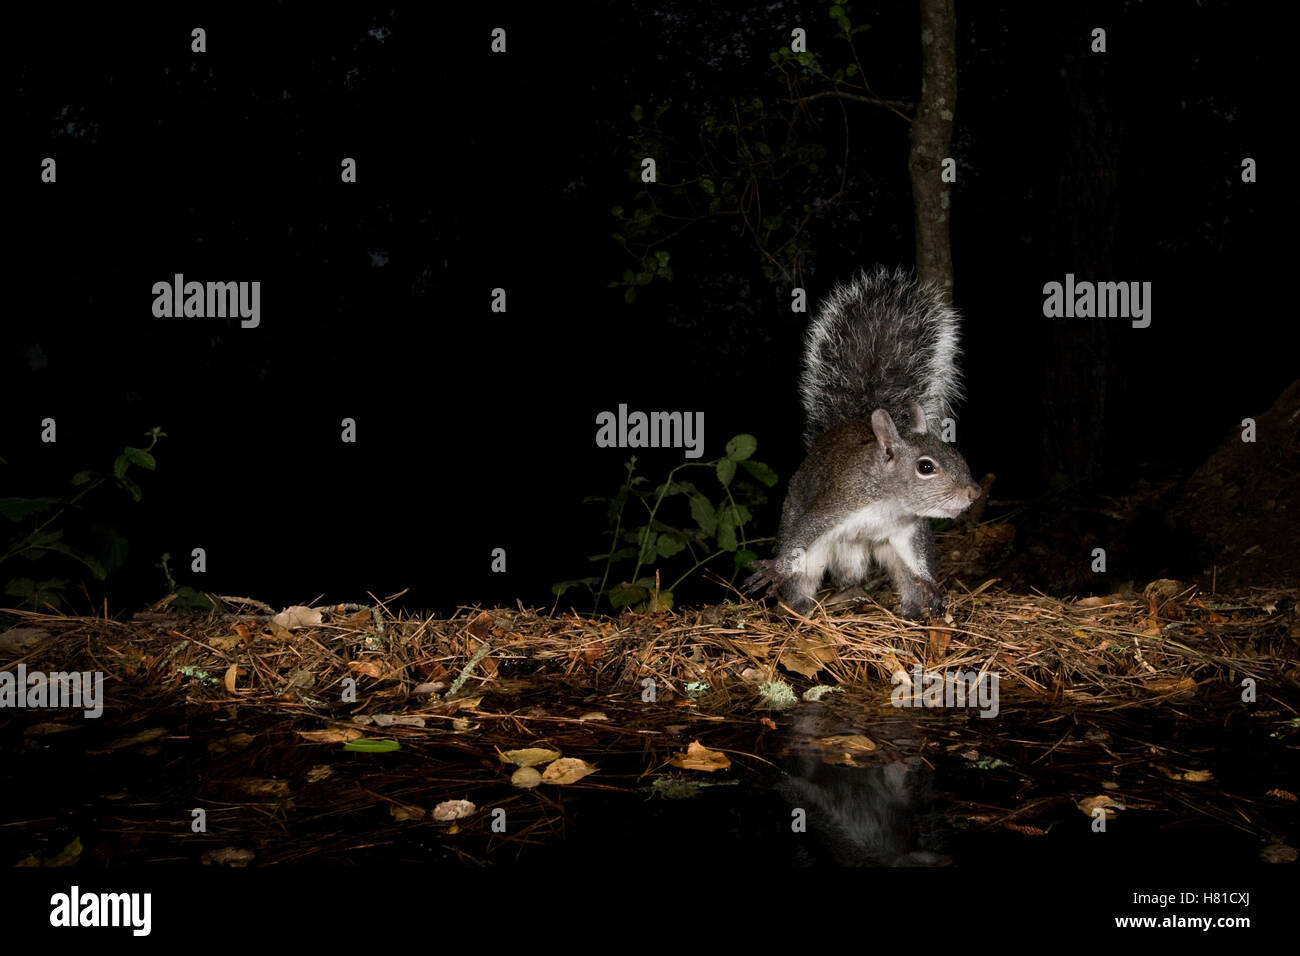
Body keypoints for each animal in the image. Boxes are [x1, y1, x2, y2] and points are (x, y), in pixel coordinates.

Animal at [746, 266, 982, 619]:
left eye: (953, 451)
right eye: (926, 467)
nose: (973, 493)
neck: (888, 501)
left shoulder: (908, 531)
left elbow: (917, 561)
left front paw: (931, 586)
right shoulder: (836, 504)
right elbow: (802, 536)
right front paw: (775, 569)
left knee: (902, 579)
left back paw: (913, 611)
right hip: (815, 552)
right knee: (802, 579)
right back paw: (801, 611)